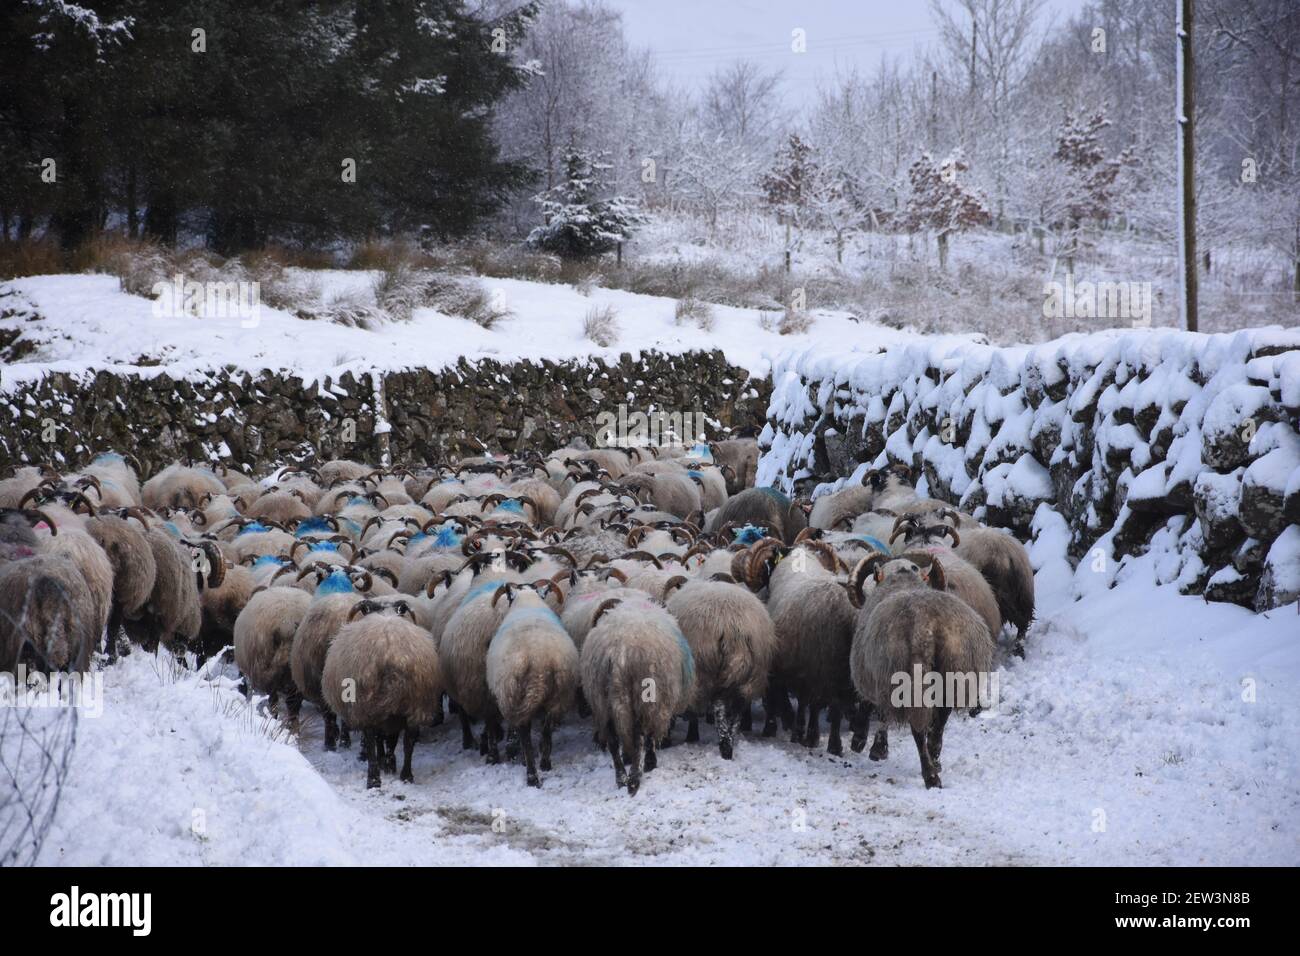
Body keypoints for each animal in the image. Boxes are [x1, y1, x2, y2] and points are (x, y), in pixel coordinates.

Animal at [322, 599, 442, 788]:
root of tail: (390, 653)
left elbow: (380, 739)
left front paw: (384, 763)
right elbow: (391, 740)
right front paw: (389, 763)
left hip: (365, 704)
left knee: (371, 739)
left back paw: (373, 779)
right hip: (416, 703)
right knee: (409, 741)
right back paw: (406, 776)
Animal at [485, 586, 580, 787]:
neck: (527, 601)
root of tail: (540, 660)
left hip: (515, 695)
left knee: (524, 733)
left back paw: (531, 774)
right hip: (558, 694)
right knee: (546, 728)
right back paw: (545, 762)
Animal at [579, 593, 694, 795]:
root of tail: (618, 653)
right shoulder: (657, 703)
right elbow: (649, 737)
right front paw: (650, 761)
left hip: (601, 698)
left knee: (612, 739)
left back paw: (621, 778)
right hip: (644, 694)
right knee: (640, 734)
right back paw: (635, 777)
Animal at [662, 575, 775, 758]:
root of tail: (735, 628)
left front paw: (689, 735)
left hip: (707, 669)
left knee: (718, 705)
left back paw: (724, 746)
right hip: (753, 672)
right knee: (738, 707)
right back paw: (730, 742)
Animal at [848, 555, 993, 789]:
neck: (902, 578)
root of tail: (928, 626)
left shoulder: (877, 673)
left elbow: (875, 708)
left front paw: (868, 744)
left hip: (910, 677)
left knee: (918, 729)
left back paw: (930, 775)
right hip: (953, 673)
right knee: (939, 722)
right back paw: (935, 760)